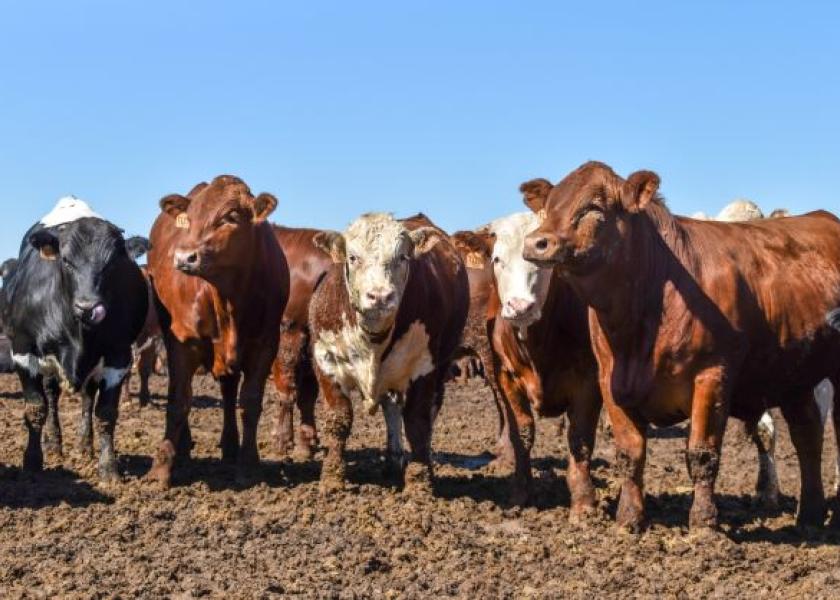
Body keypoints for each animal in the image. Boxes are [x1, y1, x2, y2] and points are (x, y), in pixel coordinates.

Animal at [4, 196, 147, 480]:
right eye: (67, 261)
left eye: (111, 263)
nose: (88, 307)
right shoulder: (23, 351)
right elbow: (35, 408)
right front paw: (32, 461)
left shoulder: (119, 356)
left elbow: (106, 413)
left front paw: (108, 468)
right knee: (51, 396)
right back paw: (54, 445)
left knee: (87, 398)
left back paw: (84, 445)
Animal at [146, 175, 289, 488]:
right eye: (189, 219)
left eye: (230, 217)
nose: (184, 257)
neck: (227, 296)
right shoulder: (181, 342)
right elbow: (178, 400)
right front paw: (161, 468)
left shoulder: (265, 344)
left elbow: (250, 402)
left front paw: (248, 464)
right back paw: (184, 448)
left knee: (228, 389)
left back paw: (230, 446)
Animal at [310, 212, 469, 494]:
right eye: (353, 257)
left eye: (403, 257)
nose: (380, 296)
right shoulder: (325, 359)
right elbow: (338, 419)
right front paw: (332, 479)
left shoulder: (424, 366)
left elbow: (417, 422)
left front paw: (419, 483)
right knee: (391, 406)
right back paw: (393, 462)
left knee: (426, 412)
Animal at [523, 161, 840, 530]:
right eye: (549, 206)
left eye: (593, 207)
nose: (536, 243)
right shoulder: (610, 380)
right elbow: (630, 452)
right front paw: (629, 519)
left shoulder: (712, 374)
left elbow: (702, 453)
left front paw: (703, 524)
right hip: (794, 374)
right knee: (807, 435)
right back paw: (810, 516)